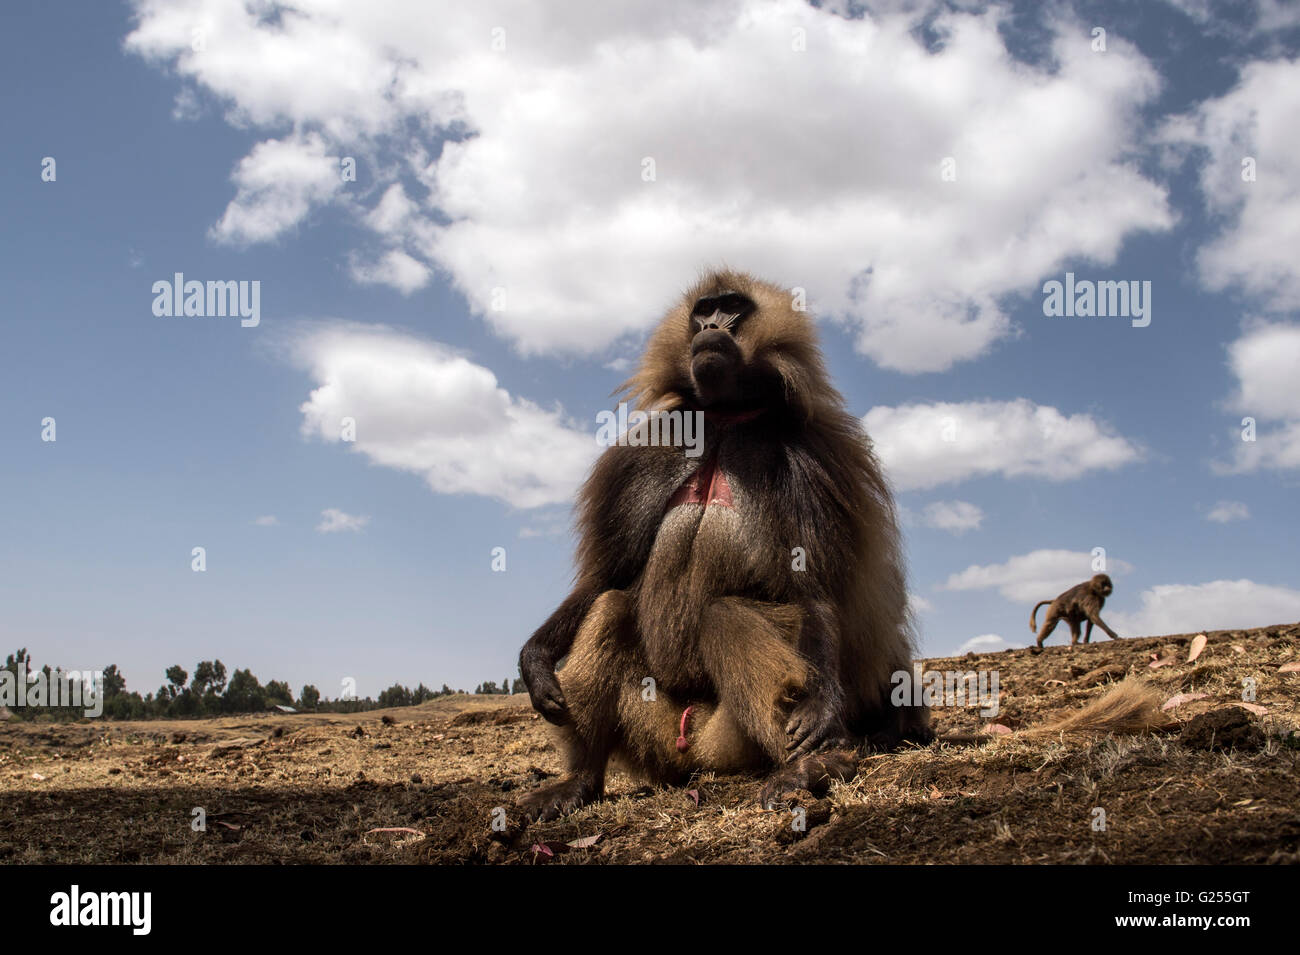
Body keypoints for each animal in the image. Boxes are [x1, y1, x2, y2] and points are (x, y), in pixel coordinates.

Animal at [515, 270, 932, 823]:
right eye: (703, 310)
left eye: (733, 307)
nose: (711, 328)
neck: (725, 420)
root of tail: (698, 758)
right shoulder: (643, 454)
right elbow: (604, 579)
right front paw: (536, 659)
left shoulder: (812, 458)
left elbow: (813, 588)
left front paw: (821, 710)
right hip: (658, 740)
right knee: (611, 609)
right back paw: (579, 781)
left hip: (731, 739)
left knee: (725, 616)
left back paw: (812, 765)